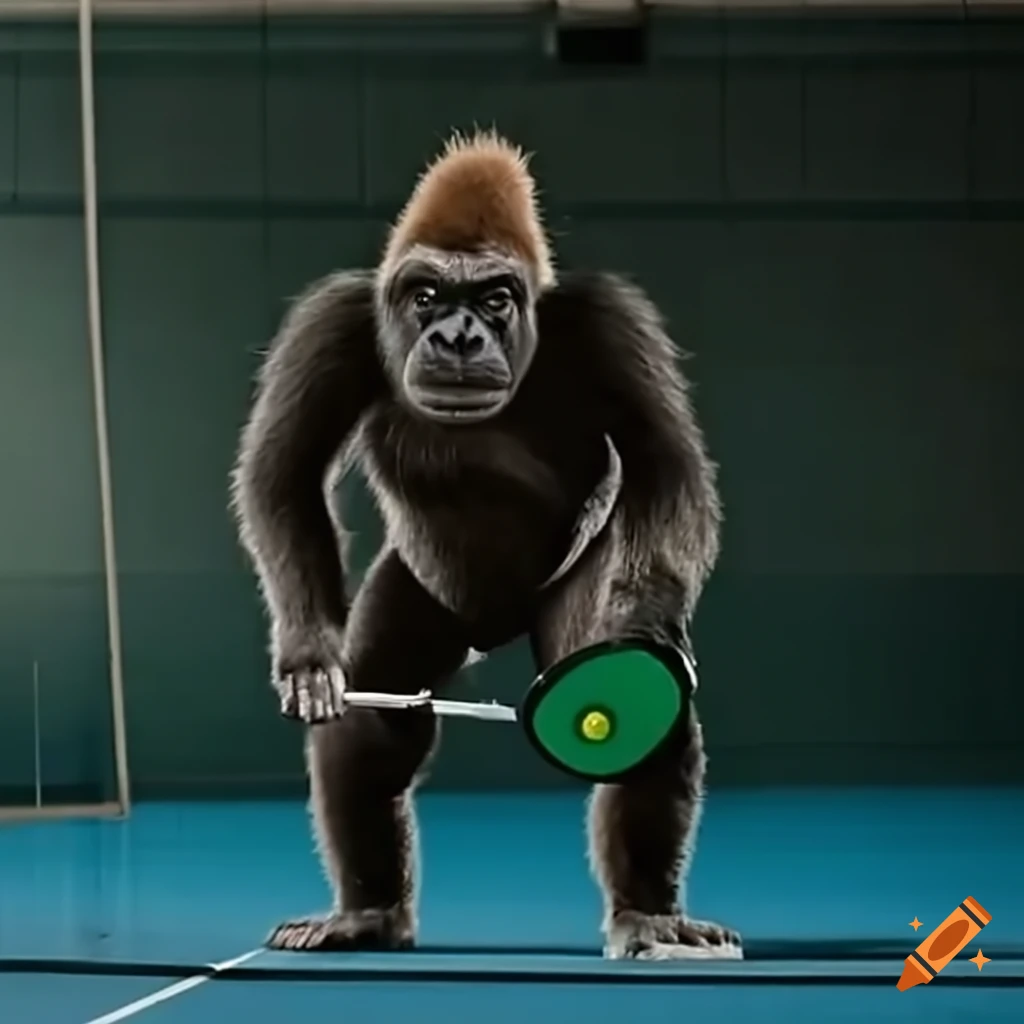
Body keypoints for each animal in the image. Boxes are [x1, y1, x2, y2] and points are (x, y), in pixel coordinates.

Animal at [231, 130, 741, 961]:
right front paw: (308, 655)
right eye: (428, 297)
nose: (460, 336)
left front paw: (645, 631)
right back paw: (367, 912)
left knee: (653, 716)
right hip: (427, 593)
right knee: (379, 710)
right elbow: (287, 475)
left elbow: (666, 473)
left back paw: (647, 914)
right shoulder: (330, 321)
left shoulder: (612, 324)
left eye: (495, 299)